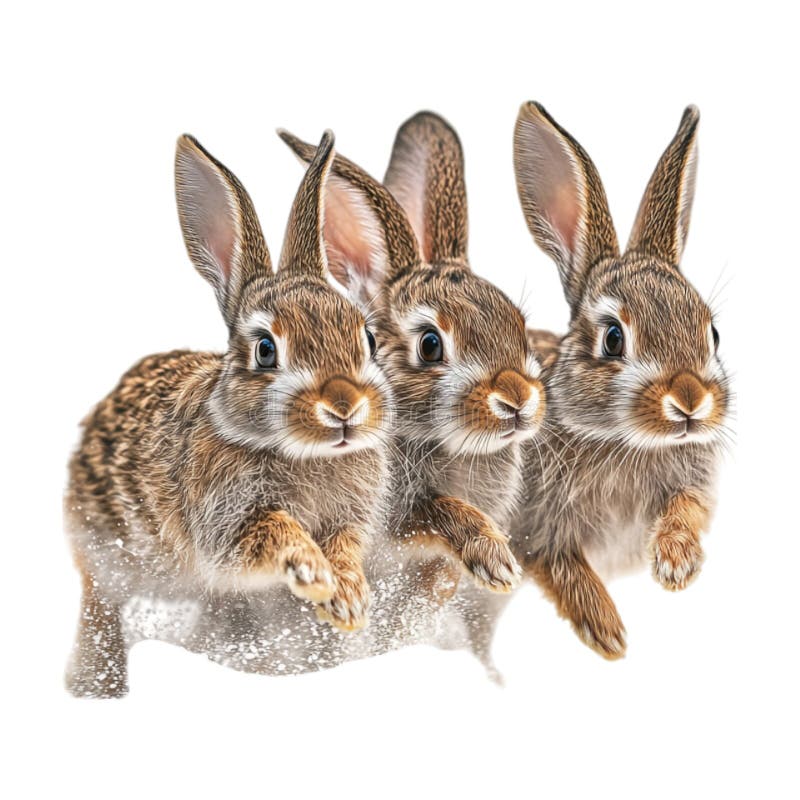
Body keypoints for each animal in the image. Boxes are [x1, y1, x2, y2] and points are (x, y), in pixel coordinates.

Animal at [64, 131, 395, 697]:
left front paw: (349, 598)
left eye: (368, 339)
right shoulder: (223, 525)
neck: (304, 453)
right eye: (265, 350)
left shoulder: (350, 519)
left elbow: (347, 549)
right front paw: (313, 573)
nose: (345, 408)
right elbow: (272, 532)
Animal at [278, 112, 547, 622]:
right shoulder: (393, 515)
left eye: (519, 326)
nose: (518, 400)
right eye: (429, 345)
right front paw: (496, 562)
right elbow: (438, 511)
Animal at [510, 102, 731, 659]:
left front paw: (675, 565)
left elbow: (688, 509)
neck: (627, 441)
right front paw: (607, 631)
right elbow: (559, 563)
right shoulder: (535, 526)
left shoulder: (692, 483)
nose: (690, 400)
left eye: (713, 332)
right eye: (613, 338)